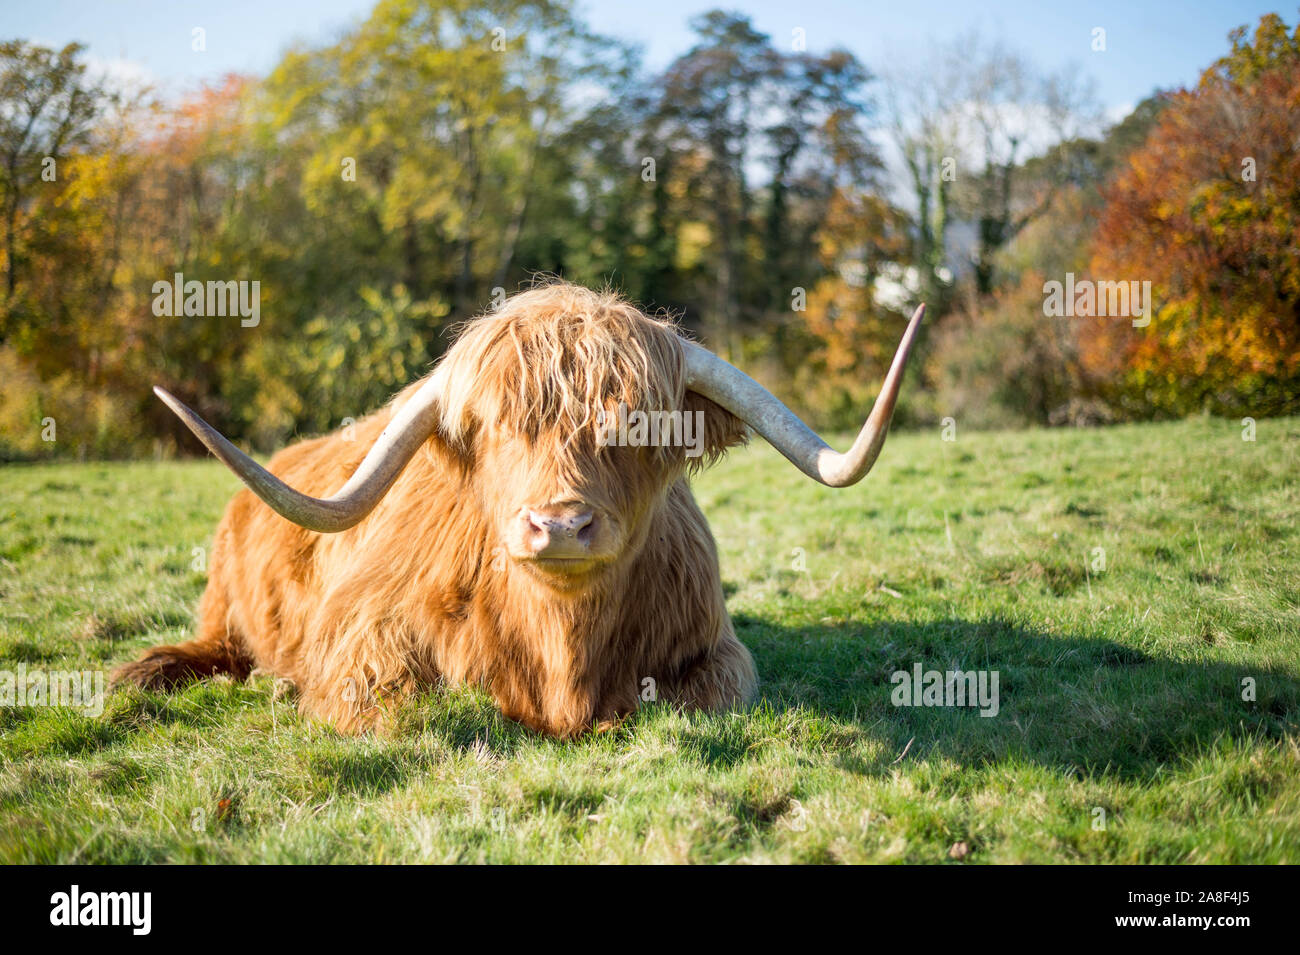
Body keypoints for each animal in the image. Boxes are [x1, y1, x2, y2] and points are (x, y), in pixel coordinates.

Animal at [111, 282, 924, 737]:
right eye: (494, 425)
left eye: (636, 423)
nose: (559, 524)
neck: (561, 644)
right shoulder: (365, 633)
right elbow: (388, 707)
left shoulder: (715, 648)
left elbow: (712, 693)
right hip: (222, 613)